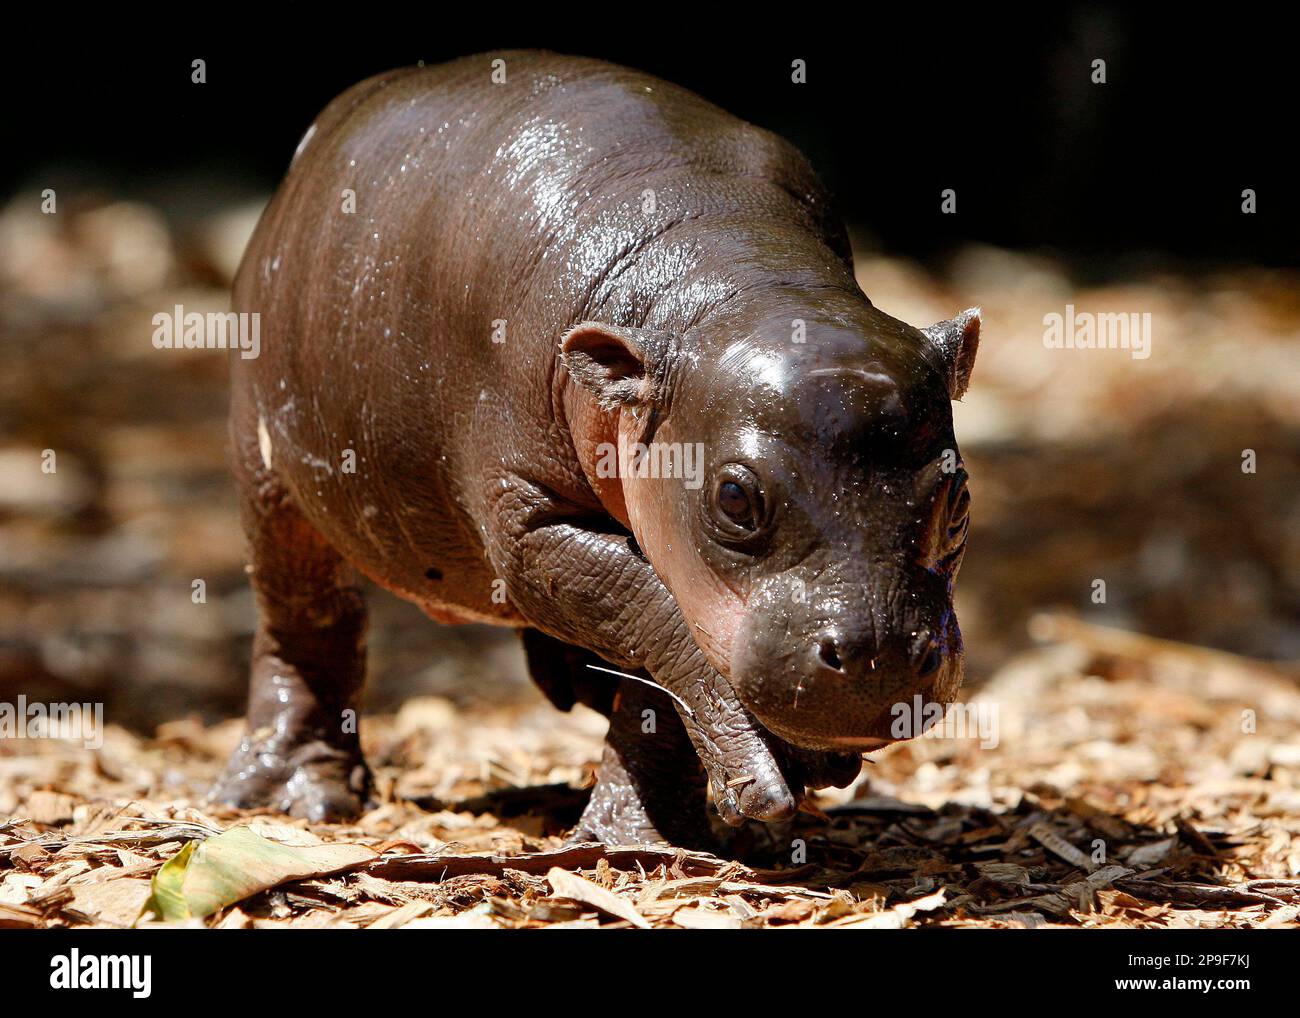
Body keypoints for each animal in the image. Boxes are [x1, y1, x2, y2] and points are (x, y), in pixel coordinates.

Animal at [212, 50, 979, 847]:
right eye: (735, 497)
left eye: (959, 498)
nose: (879, 658)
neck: (730, 273)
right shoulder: (529, 524)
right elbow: (653, 614)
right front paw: (684, 820)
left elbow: (656, 676)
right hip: (267, 470)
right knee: (304, 614)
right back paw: (295, 793)